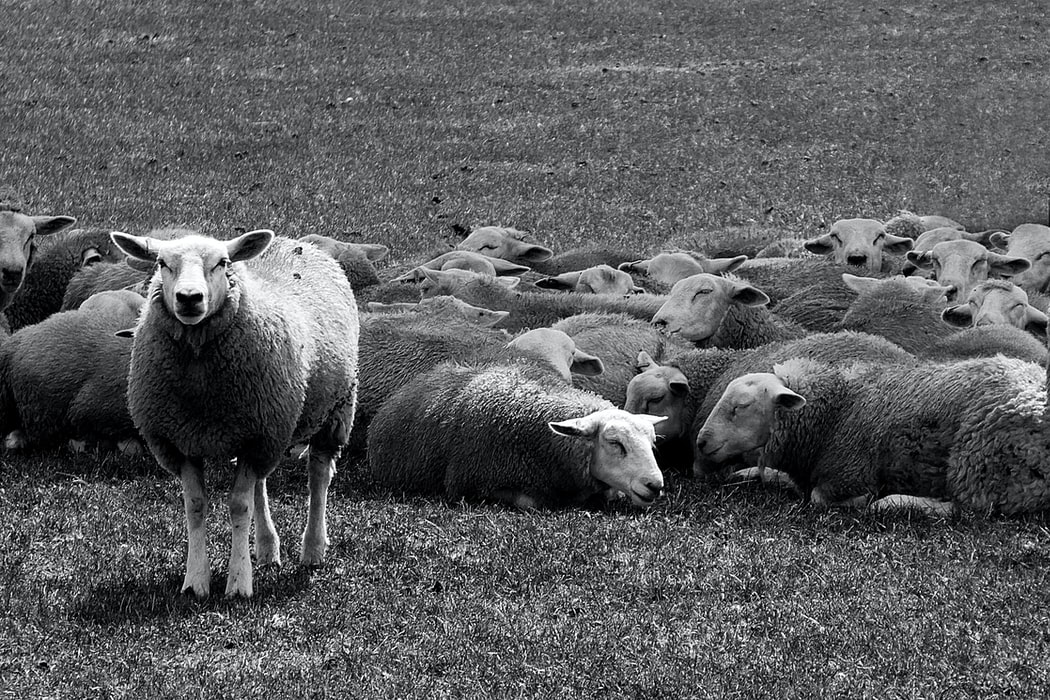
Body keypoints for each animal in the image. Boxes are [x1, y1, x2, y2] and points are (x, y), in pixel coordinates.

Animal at [110, 229, 359, 599]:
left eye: (222, 263)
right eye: (162, 263)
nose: (189, 298)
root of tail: (293, 241)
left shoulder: (257, 436)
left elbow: (238, 506)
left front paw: (239, 582)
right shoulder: (183, 441)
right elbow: (196, 506)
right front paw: (195, 581)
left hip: (334, 410)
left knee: (318, 477)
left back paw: (313, 550)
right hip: (265, 427)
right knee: (261, 485)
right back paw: (267, 549)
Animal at [694, 354, 1050, 515]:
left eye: (741, 406)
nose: (701, 442)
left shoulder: (851, 474)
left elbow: (820, 497)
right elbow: (773, 476)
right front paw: (749, 473)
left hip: (981, 463)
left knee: (970, 509)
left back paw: (898, 502)